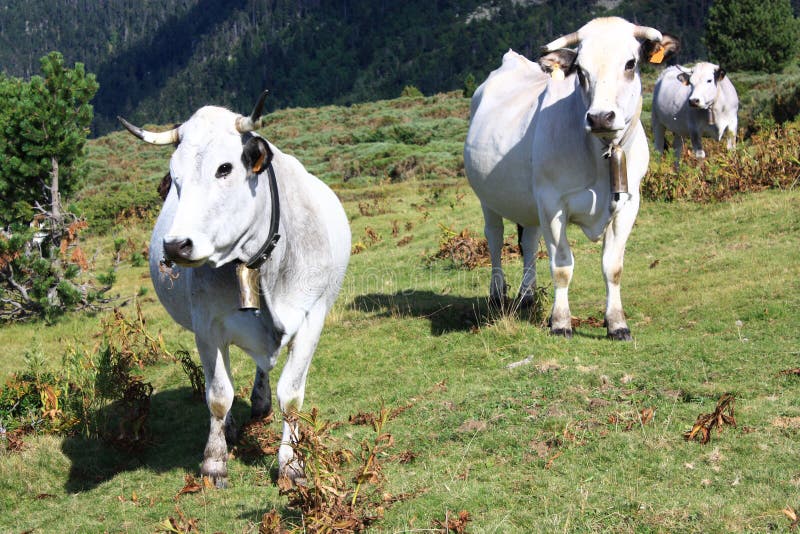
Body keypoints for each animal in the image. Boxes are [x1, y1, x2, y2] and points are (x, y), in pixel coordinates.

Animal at [118, 92, 351, 487]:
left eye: (224, 168)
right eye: (175, 177)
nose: (176, 246)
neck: (260, 261)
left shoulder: (312, 318)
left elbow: (291, 395)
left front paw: (292, 464)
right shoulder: (207, 327)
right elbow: (218, 395)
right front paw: (214, 461)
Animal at [464, 17, 678, 340]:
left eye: (630, 63)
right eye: (580, 70)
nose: (600, 116)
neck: (600, 155)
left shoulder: (629, 204)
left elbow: (613, 266)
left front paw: (617, 323)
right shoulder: (553, 204)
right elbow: (562, 266)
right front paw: (561, 322)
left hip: (529, 203)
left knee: (529, 241)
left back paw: (527, 295)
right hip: (488, 199)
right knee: (495, 238)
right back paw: (498, 294)